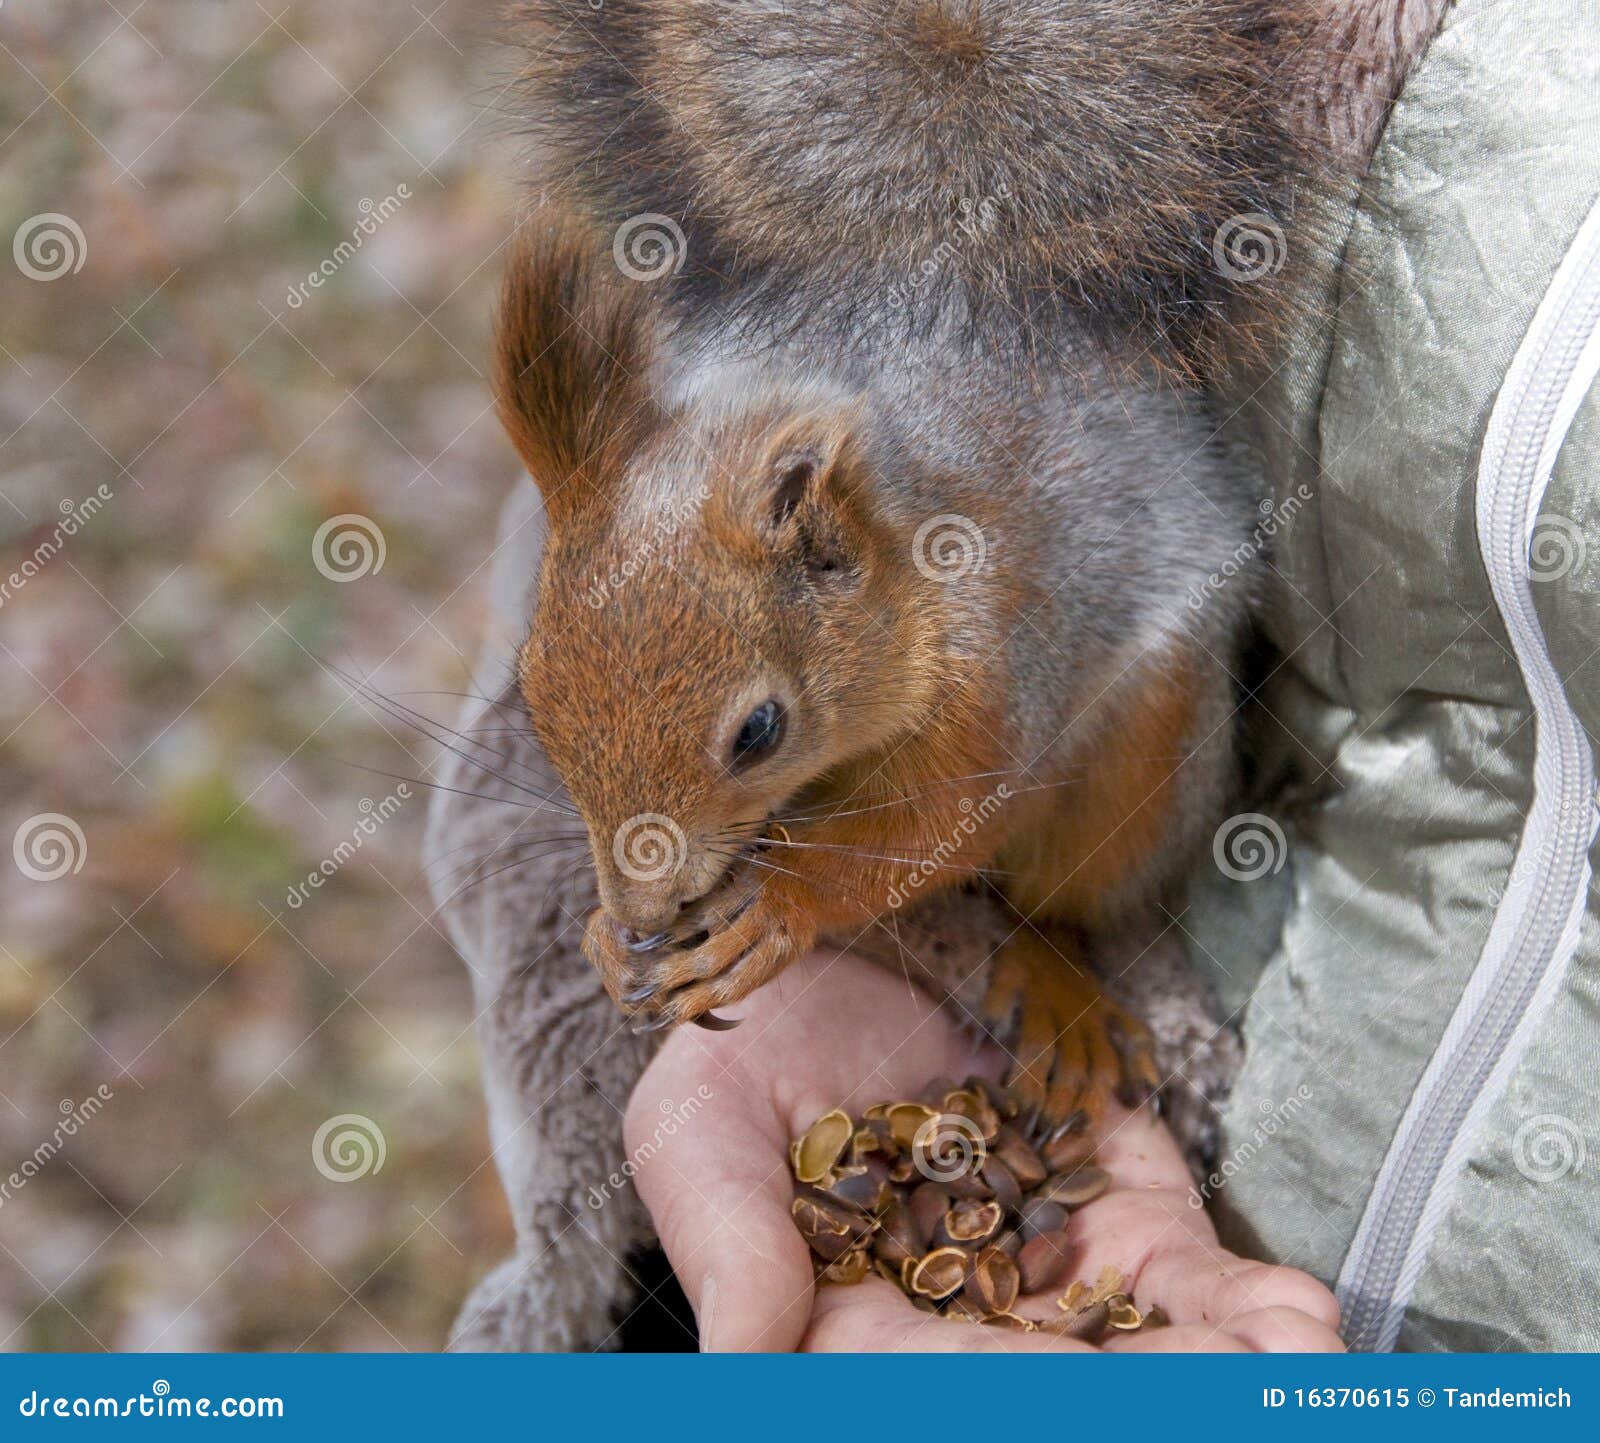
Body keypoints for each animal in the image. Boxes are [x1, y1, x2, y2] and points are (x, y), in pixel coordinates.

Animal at [493, 0, 1323, 1125]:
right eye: (533, 699)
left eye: (758, 732)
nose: (643, 904)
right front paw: (601, 937)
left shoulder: (996, 662)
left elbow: (937, 821)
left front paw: (778, 907)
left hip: (1149, 764)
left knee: (1066, 895)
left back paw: (1058, 986)